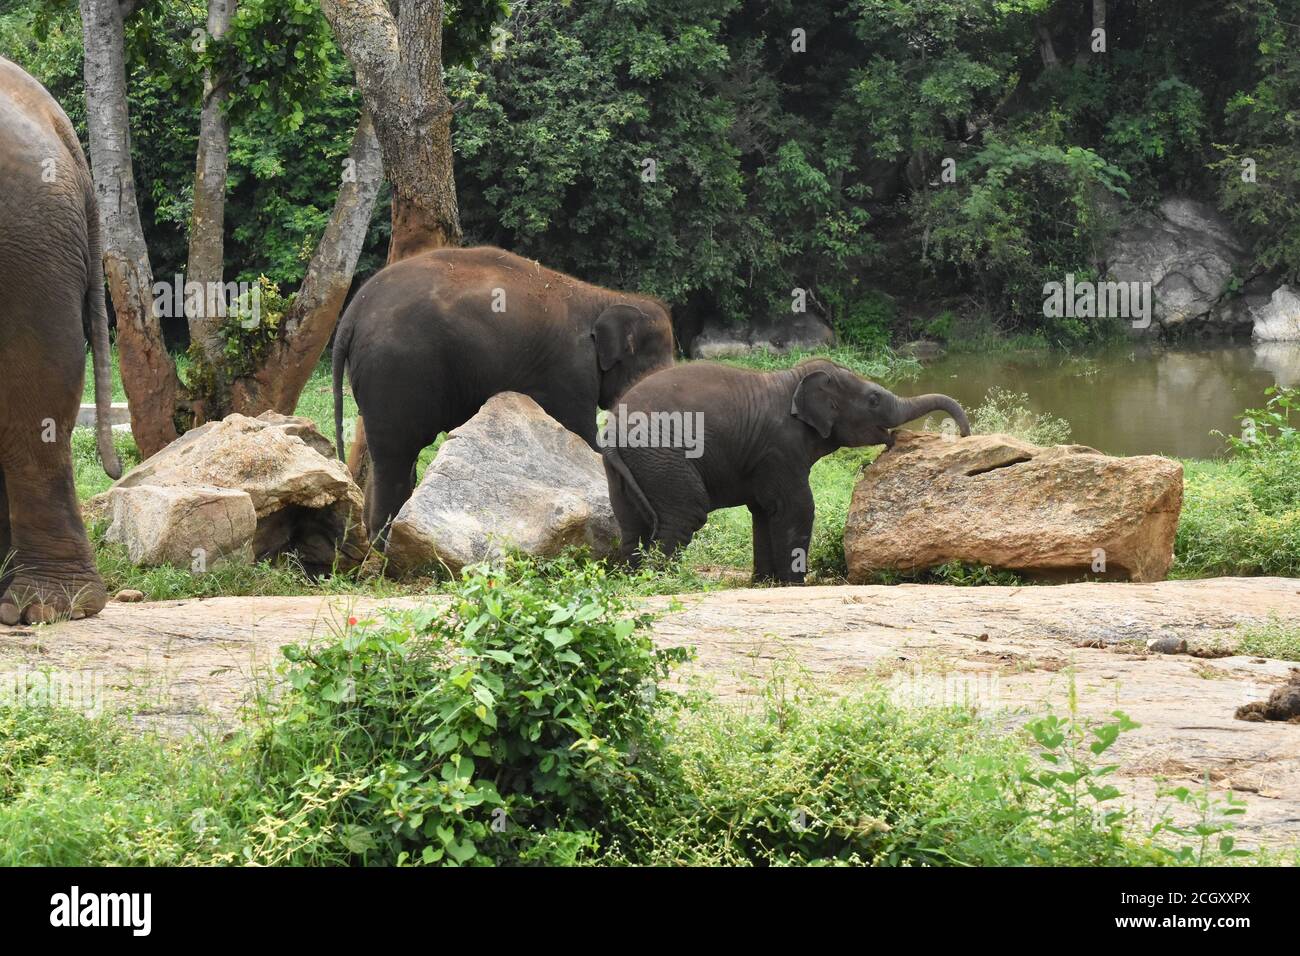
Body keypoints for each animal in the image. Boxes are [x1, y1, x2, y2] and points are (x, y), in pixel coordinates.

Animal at [332, 246, 675, 542]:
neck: (604, 298)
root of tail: (353, 313)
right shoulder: (570, 372)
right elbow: (581, 435)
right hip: (399, 368)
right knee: (397, 455)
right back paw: (382, 547)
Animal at [601, 357, 970, 583]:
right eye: (874, 399)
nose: (965, 437)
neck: (795, 378)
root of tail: (614, 426)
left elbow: (764, 510)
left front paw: (765, 583)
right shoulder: (780, 447)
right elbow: (797, 508)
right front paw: (793, 583)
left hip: (628, 468)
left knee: (632, 524)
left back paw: (634, 579)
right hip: (662, 457)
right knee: (684, 516)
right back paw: (662, 581)